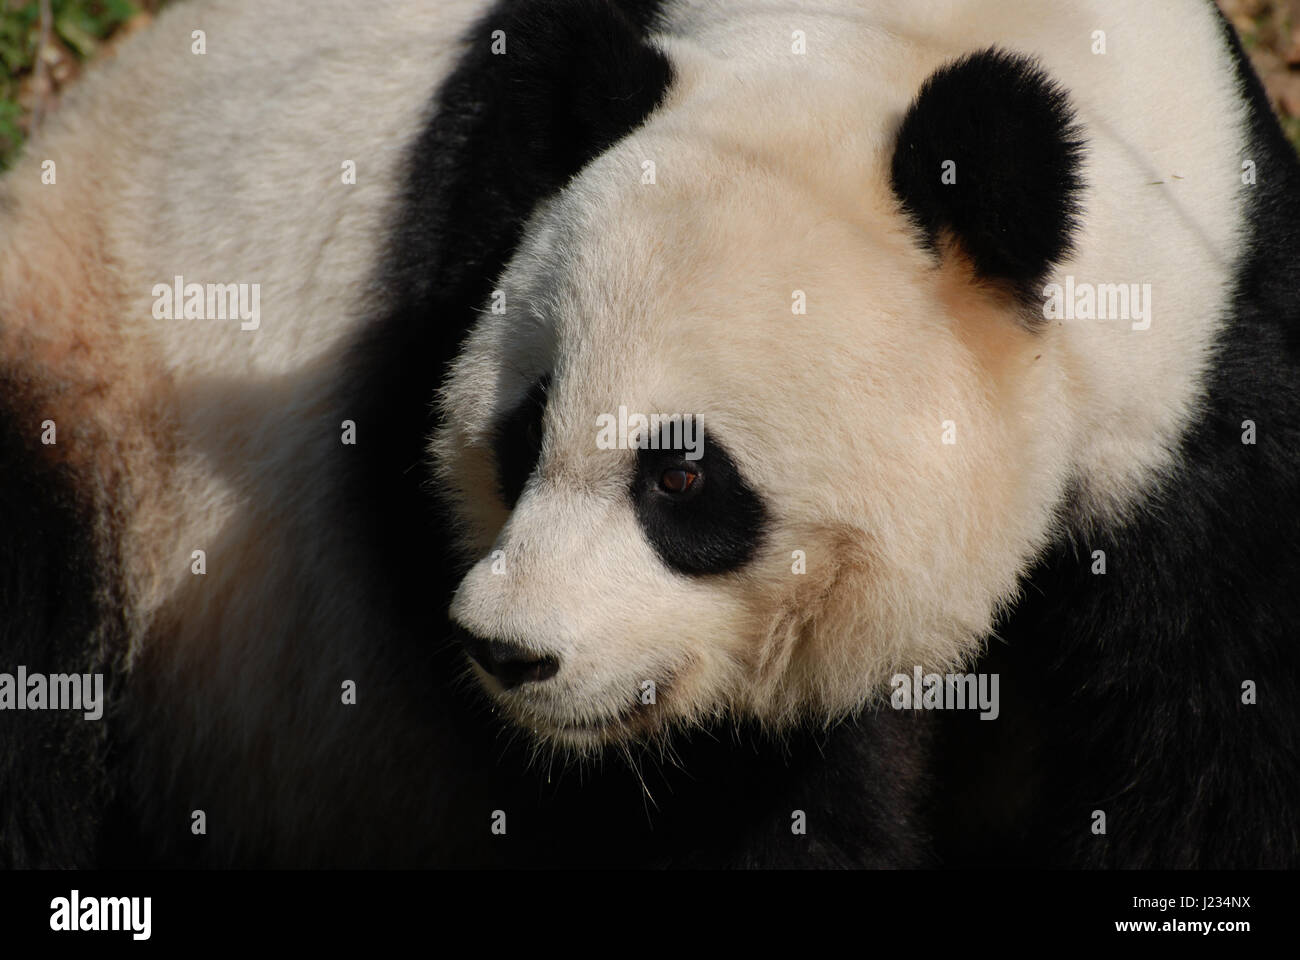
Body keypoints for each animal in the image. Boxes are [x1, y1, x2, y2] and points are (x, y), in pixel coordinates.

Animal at [1, 0, 1297, 869]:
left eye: (680, 476)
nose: (508, 654)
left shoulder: (1208, 378)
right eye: (520, 434)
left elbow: (1211, 752)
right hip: (93, 387)